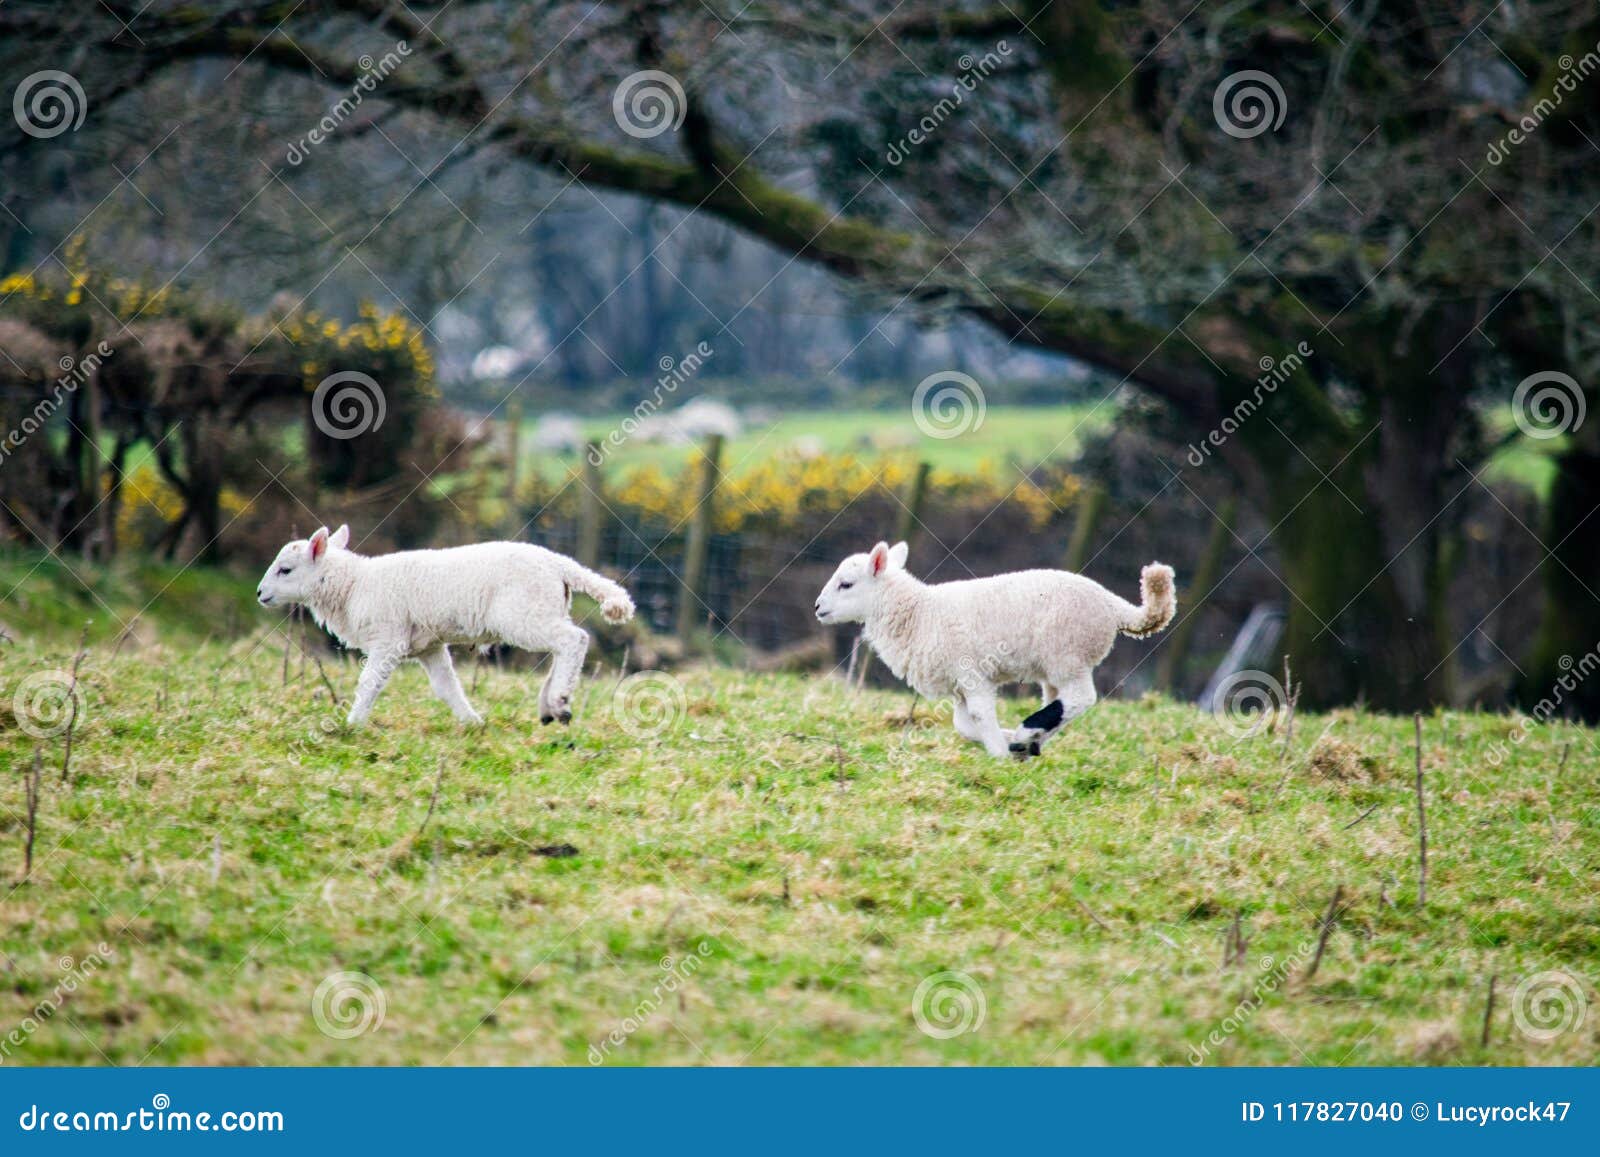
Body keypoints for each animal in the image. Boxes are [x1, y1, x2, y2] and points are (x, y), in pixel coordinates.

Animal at [256, 524, 634, 728]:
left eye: (285, 570)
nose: (260, 594)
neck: (353, 585)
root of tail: (558, 563)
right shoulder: (428, 646)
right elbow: (446, 686)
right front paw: (472, 722)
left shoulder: (388, 637)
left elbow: (369, 683)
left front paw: (352, 724)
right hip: (541, 610)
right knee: (562, 646)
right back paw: (550, 706)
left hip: (522, 615)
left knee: (574, 639)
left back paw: (560, 700)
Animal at [814, 541, 1175, 759]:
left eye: (846, 584)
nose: (817, 607)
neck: (920, 614)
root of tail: (1114, 606)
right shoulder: (959, 684)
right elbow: (963, 724)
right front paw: (1005, 742)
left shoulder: (971, 674)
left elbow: (979, 715)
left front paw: (1000, 753)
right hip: (1056, 665)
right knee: (1061, 701)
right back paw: (1029, 741)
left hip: (1068, 654)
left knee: (1081, 698)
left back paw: (1027, 732)